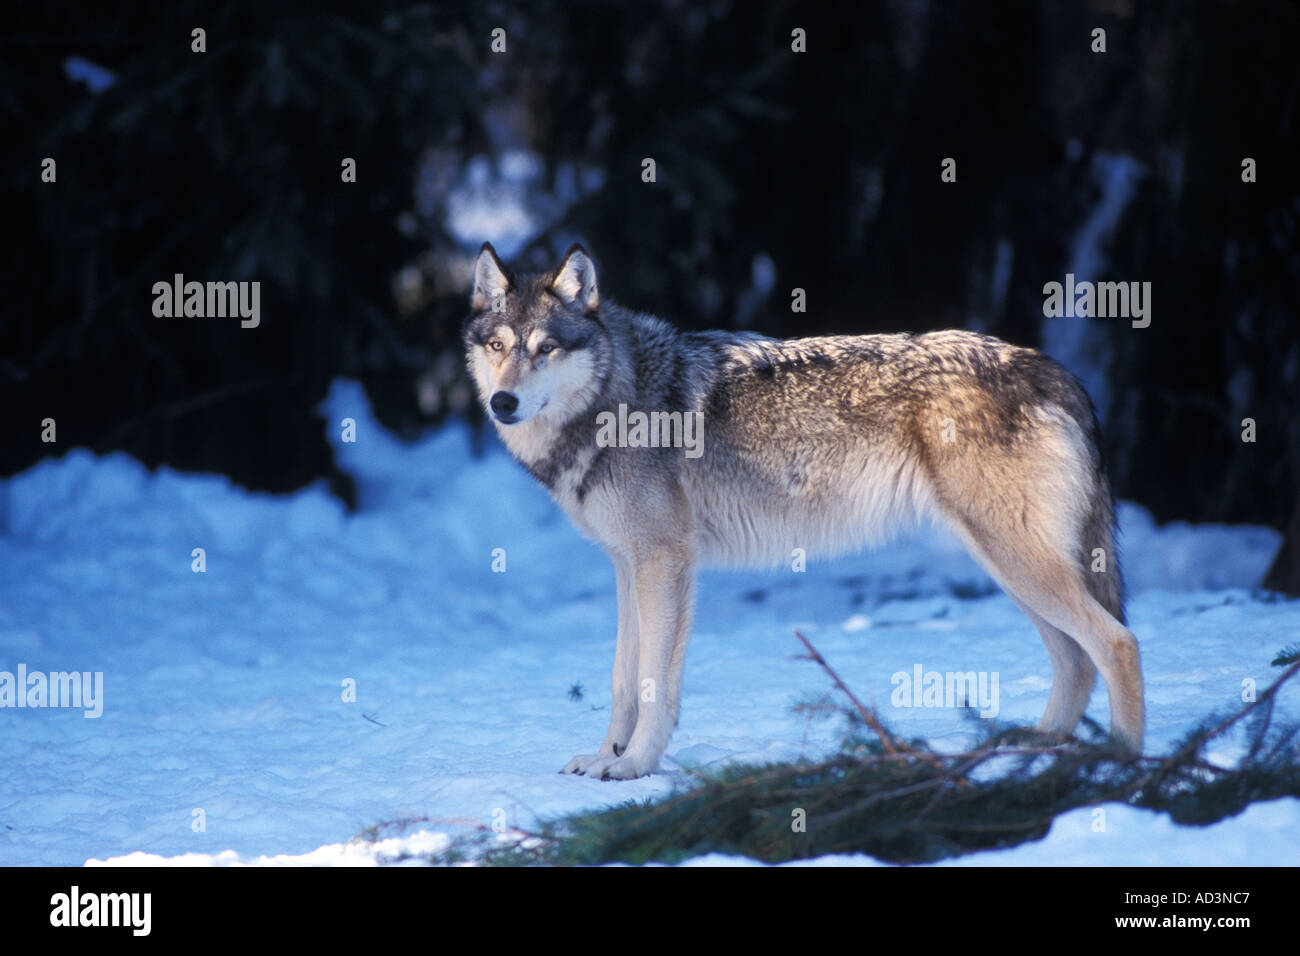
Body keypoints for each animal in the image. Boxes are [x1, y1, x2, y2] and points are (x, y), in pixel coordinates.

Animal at [463, 242, 1144, 780]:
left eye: (546, 349)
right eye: (498, 345)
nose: (502, 402)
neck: (616, 398)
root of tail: (1051, 369)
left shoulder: (665, 562)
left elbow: (654, 684)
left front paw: (635, 766)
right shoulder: (628, 565)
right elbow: (622, 680)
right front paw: (606, 756)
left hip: (1016, 563)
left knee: (1116, 644)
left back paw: (1124, 771)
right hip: (1010, 569)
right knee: (1075, 661)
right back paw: (1036, 759)